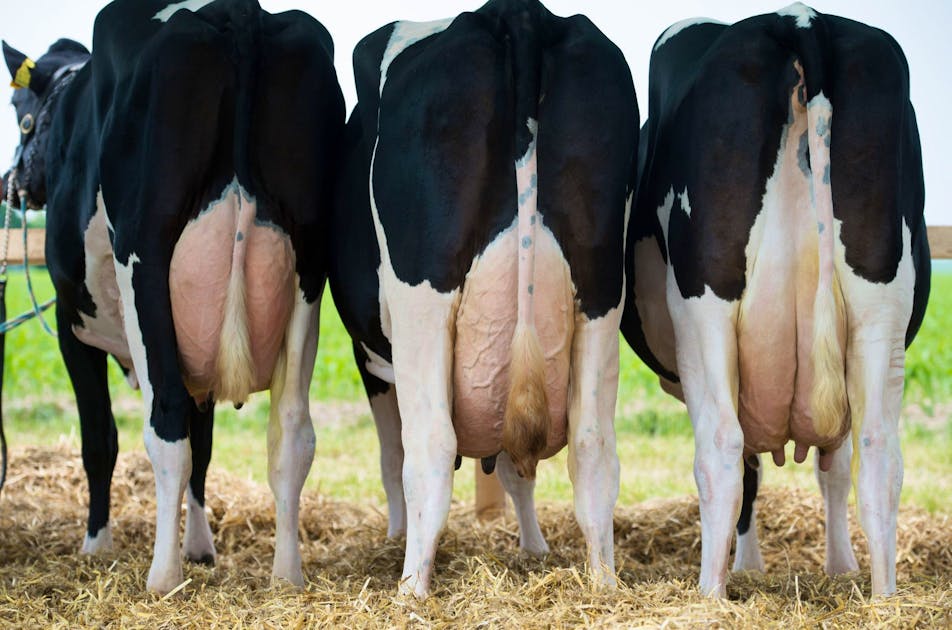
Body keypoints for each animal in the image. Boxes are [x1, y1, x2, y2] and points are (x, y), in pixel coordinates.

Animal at [4, 0, 344, 594]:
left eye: (19, 109)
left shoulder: (73, 322)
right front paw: (202, 547)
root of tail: (240, 15)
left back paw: (162, 577)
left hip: (146, 261)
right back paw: (287, 575)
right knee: (292, 432)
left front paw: (98, 547)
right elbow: (205, 443)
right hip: (308, 262)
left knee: (164, 425)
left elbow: (102, 438)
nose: (14, 178)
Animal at [329, 0, 638, 598]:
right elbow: (518, 466)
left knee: (428, 447)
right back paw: (603, 584)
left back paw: (410, 591)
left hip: (420, 300)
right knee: (594, 448)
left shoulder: (370, 358)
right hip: (599, 295)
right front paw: (535, 549)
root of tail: (515, 13)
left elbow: (391, 453)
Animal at [621, 2, 930, 597]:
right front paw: (840, 567)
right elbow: (835, 466)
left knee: (721, 449)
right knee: (879, 453)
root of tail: (800, 18)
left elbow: (751, 463)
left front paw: (748, 566)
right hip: (879, 309)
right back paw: (884, 599)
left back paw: (710, 596)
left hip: (705, 309)